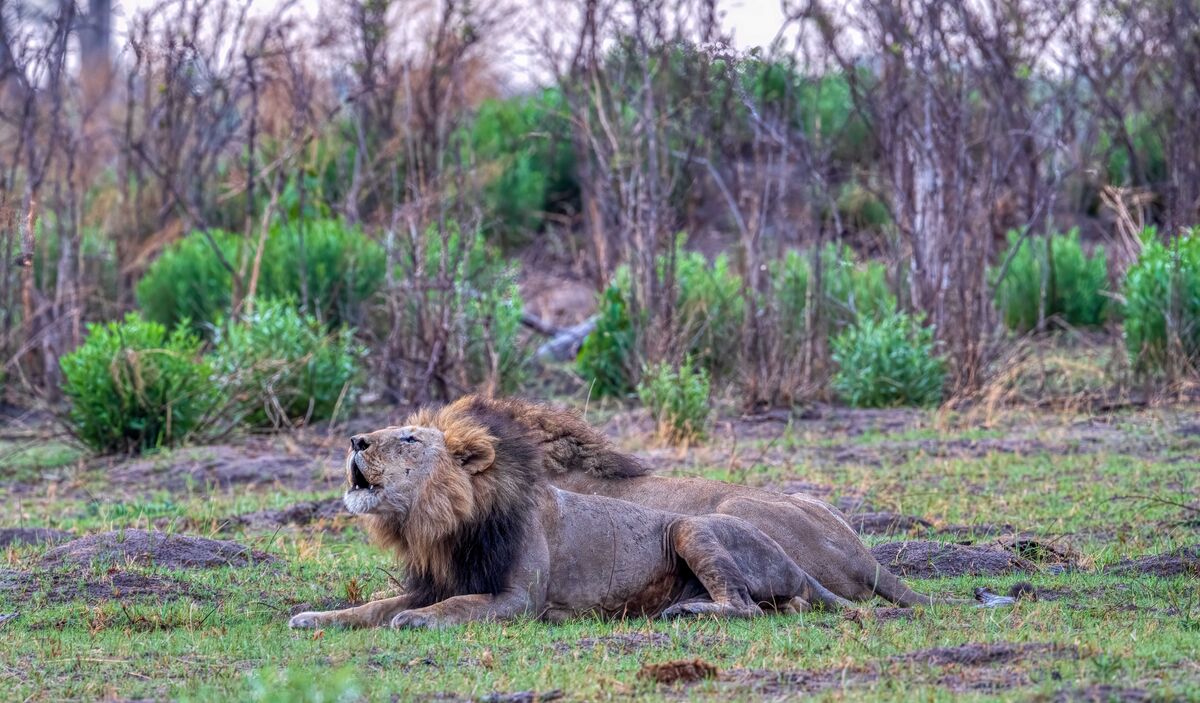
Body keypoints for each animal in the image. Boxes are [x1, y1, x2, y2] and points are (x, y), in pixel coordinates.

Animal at [288, 403, 848, 630]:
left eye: (408, 438)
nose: (355, 441)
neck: (444, 526)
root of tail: (793, 563)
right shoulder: (436, 581)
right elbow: (370, 607)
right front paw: (314, 617)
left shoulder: (519, 599)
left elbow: (454, 606)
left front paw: (416, 620)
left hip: (690, 527)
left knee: (746, 607)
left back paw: (686, 611)